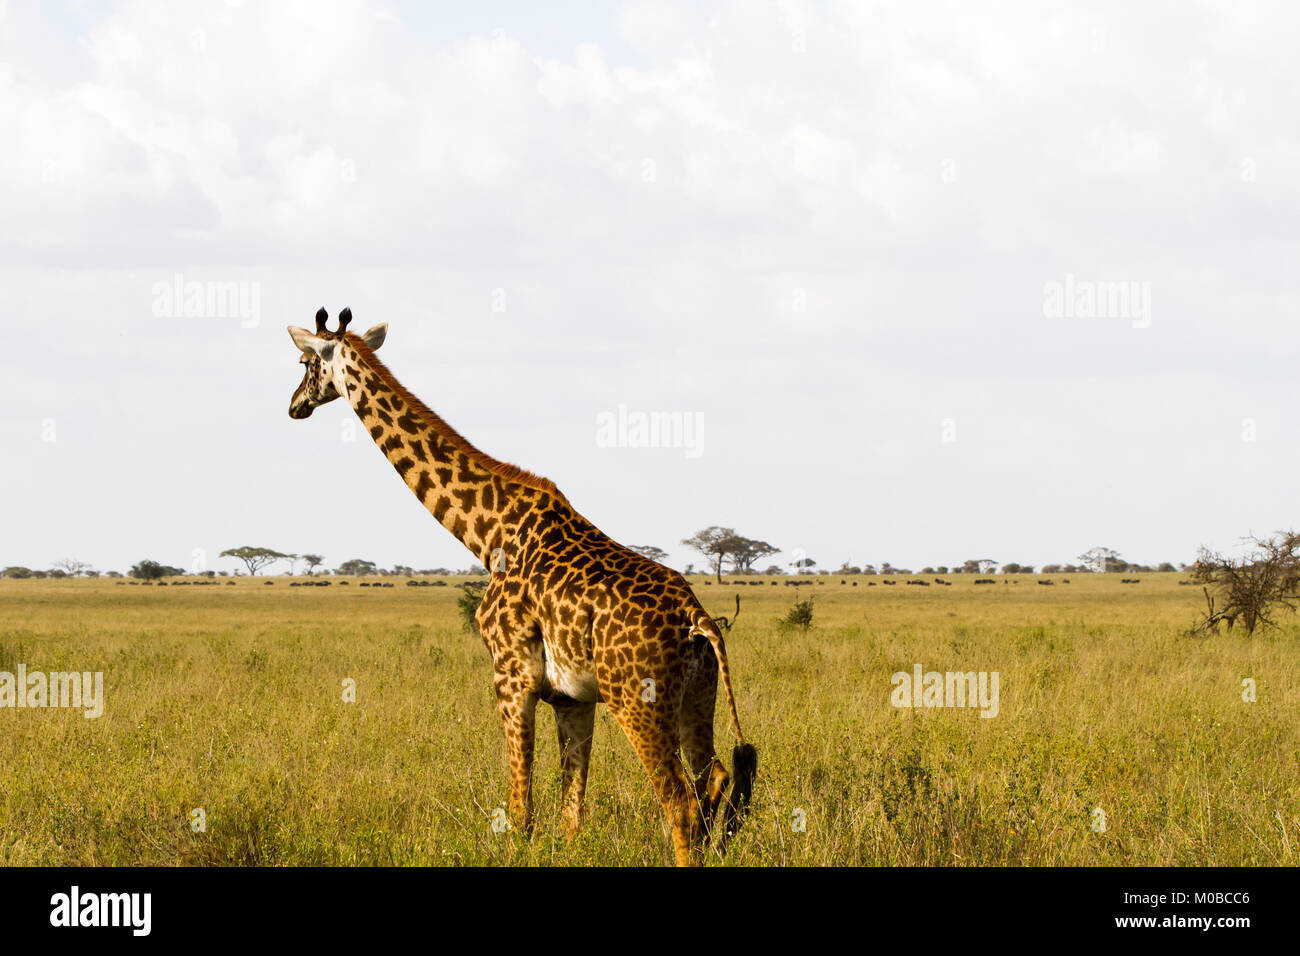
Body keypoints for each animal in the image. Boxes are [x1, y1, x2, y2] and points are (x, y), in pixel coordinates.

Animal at [286, 308, 757, 865]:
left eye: (304, 362)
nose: (294, 406)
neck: (487, 532)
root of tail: (696, 618)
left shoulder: (510, 676)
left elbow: (520, 812)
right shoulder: (574, 698)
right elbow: (571, 815)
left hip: (638, 699)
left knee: (680, 802)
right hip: (696, 695)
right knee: (715, 778)